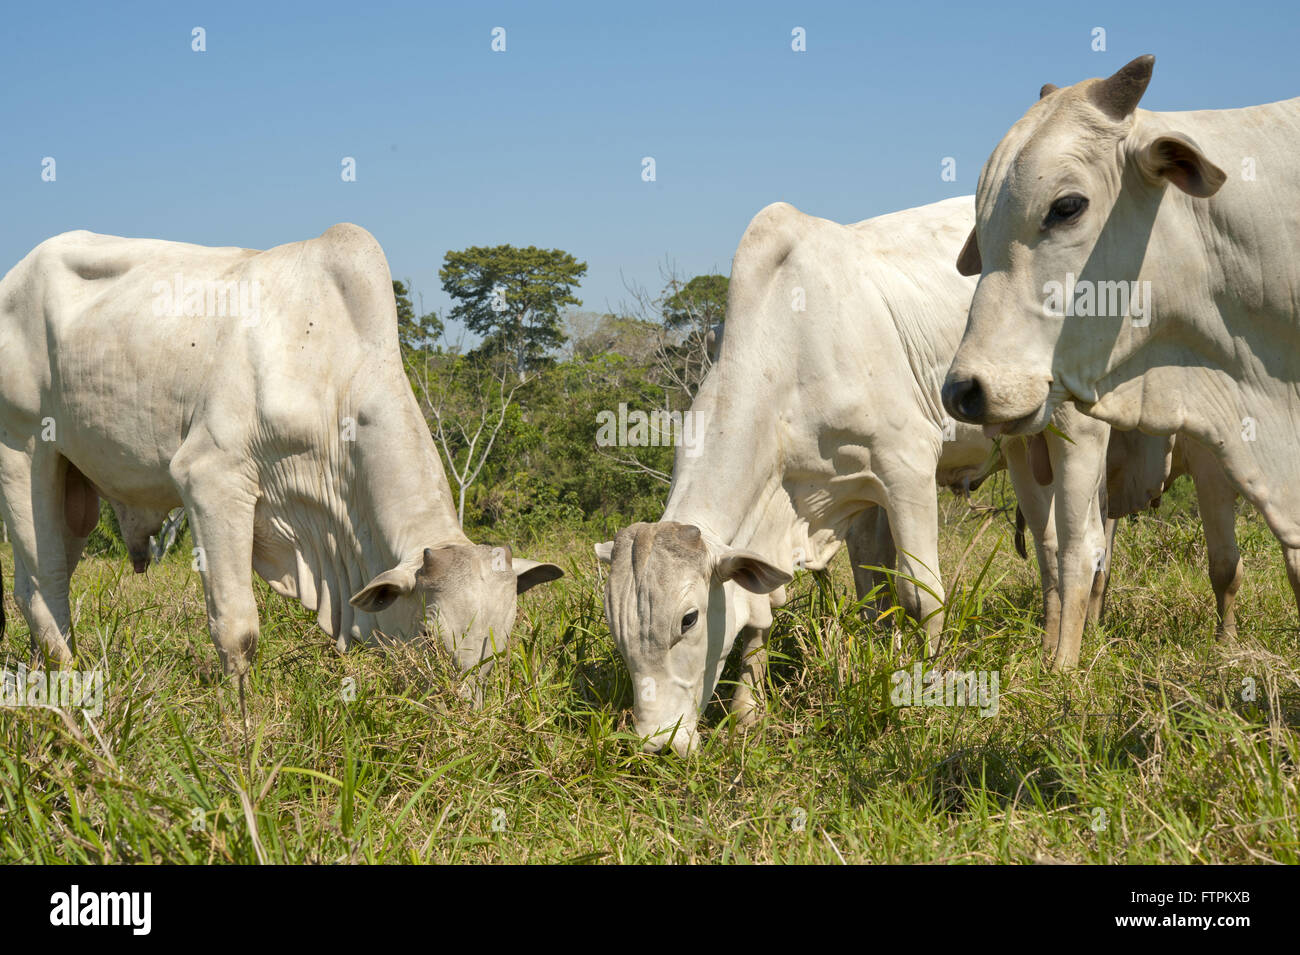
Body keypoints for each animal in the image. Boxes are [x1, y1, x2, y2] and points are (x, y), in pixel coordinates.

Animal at [0, 224, 562, 696]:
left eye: (502, 640)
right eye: (429, 633)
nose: (467, 712)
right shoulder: (210, 477)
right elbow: (238, 627)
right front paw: (242, 720)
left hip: (74, 486)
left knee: (34, 581)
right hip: (24, 448)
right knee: (46, 583)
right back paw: (68, 686)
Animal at [594, 197, 1117, 756]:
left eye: (688, 619)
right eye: (616, 629)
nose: (656, 743)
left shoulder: (905, 464)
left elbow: (922, 594)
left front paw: (928, 688)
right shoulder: (843, 497)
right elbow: (838, 601)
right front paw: (748, 714)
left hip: (1078, 427)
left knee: (1081, 546)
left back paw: (1062, 666)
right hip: (1023, 447)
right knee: (1048, 547)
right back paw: (1047, 647)